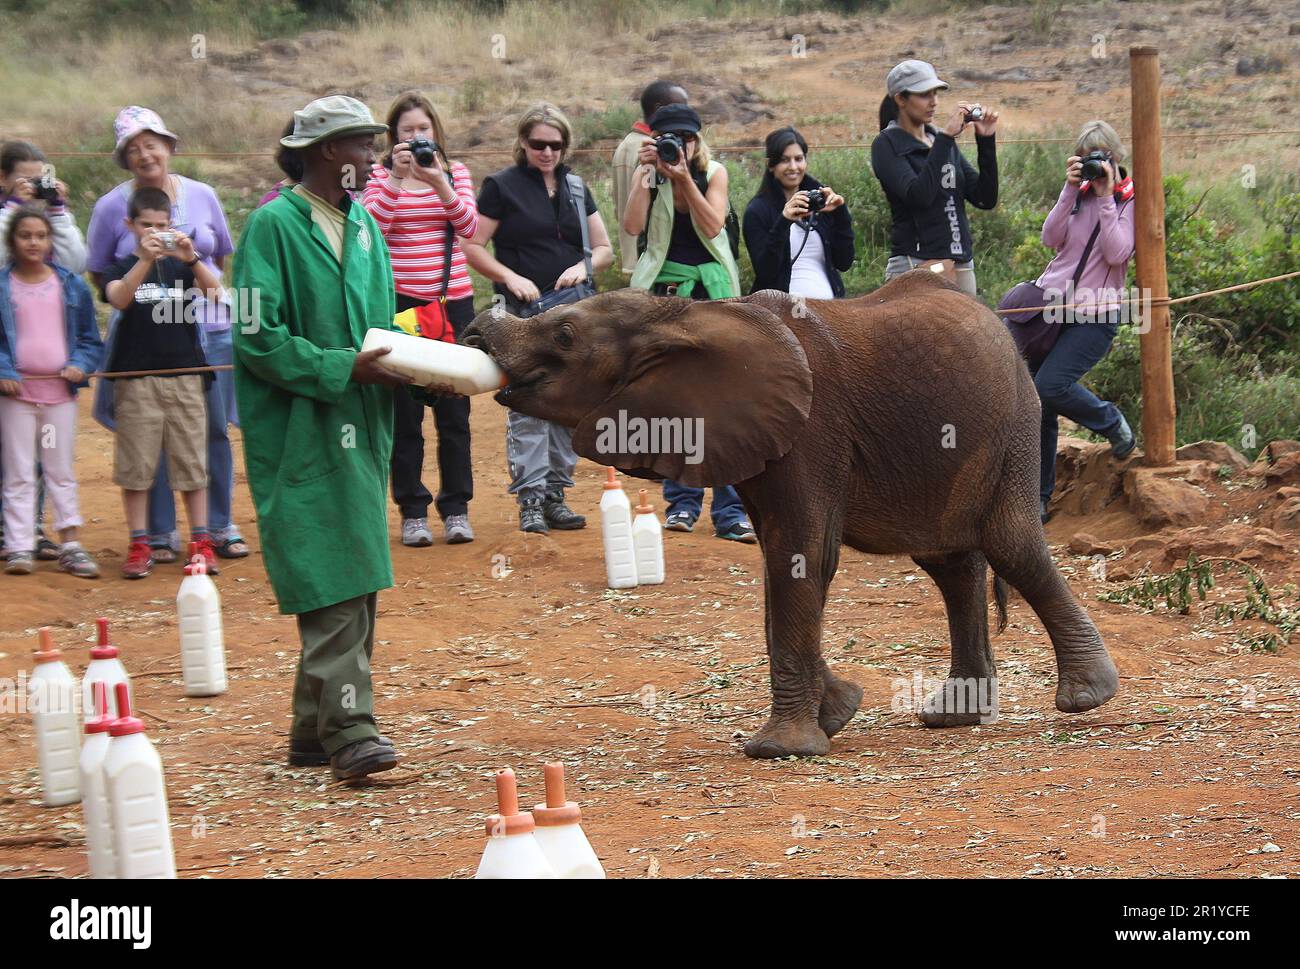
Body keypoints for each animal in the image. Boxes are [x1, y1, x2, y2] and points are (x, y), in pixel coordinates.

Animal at [461, 272, 1119, 759]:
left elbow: (802, 555)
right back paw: (952, 717)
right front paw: (840, 709)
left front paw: (781, 749)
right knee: (950, 563)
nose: (471, 329)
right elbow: (781, 558)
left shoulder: (811, 429)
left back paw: (1087, 696)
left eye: (565, 333)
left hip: (1015, 422)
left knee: (1009, 544)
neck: (683, 313)